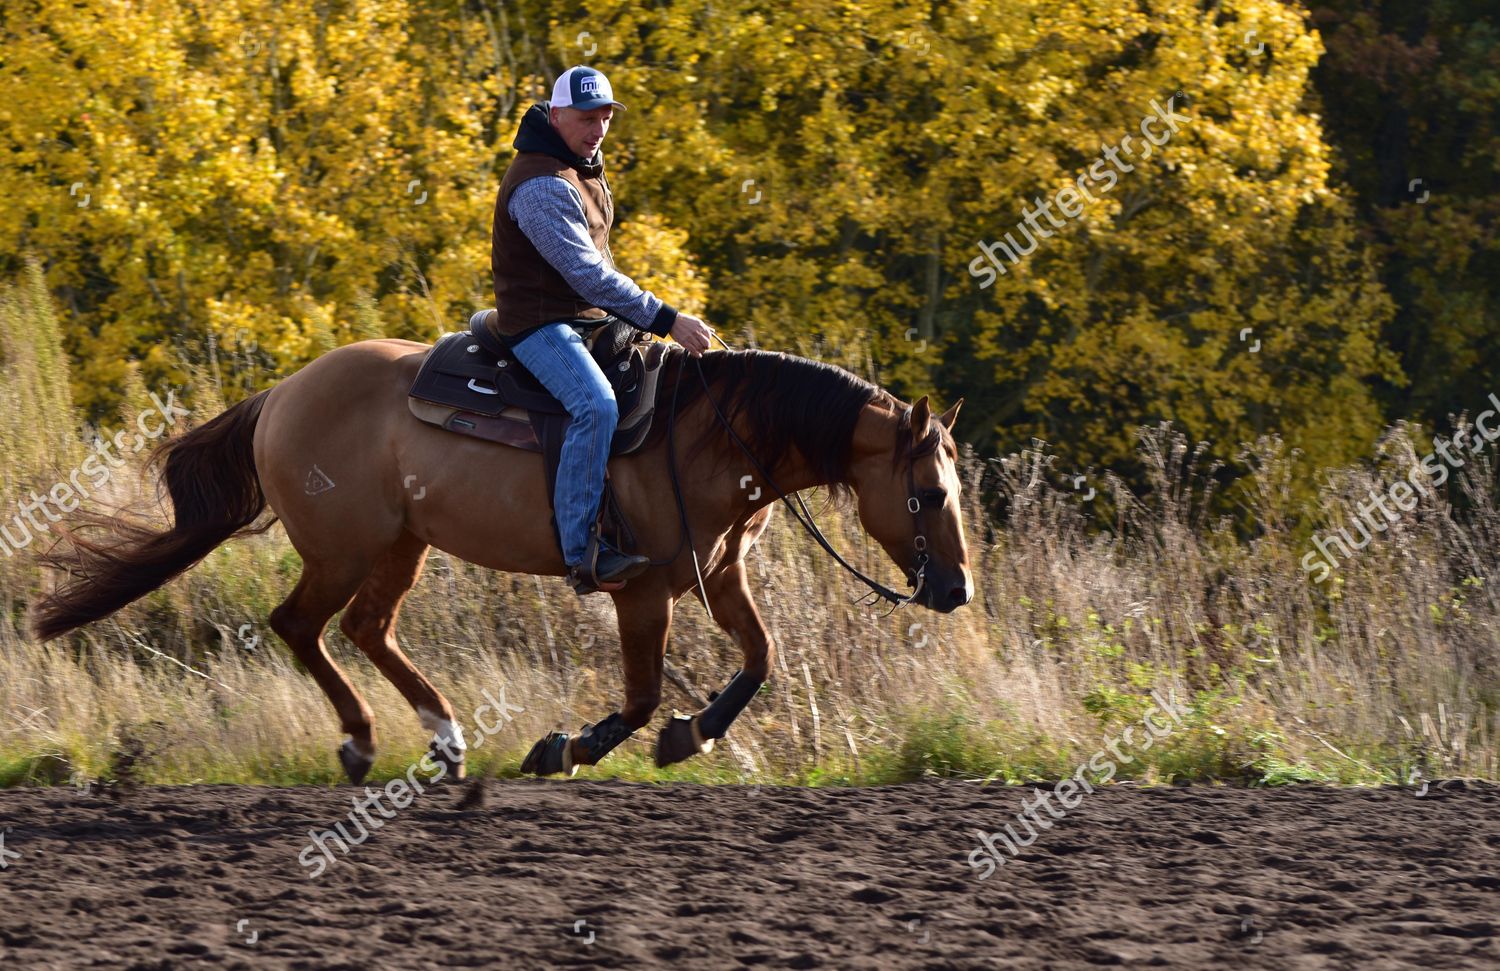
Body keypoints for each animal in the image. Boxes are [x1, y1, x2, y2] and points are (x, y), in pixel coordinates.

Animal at [32, 336, 972, 782]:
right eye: (928, 493)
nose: (957, 589)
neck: (707, 436)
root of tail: (283, 393)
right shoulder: (641, 590)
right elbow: (638, 695)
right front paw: (568, 747)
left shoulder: (719, 577)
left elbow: (760, 659)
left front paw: (689, 734)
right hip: (344, 549)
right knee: (302, 625)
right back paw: (362, 741)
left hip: (401, 544)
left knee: (366, 629)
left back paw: (444, 738)